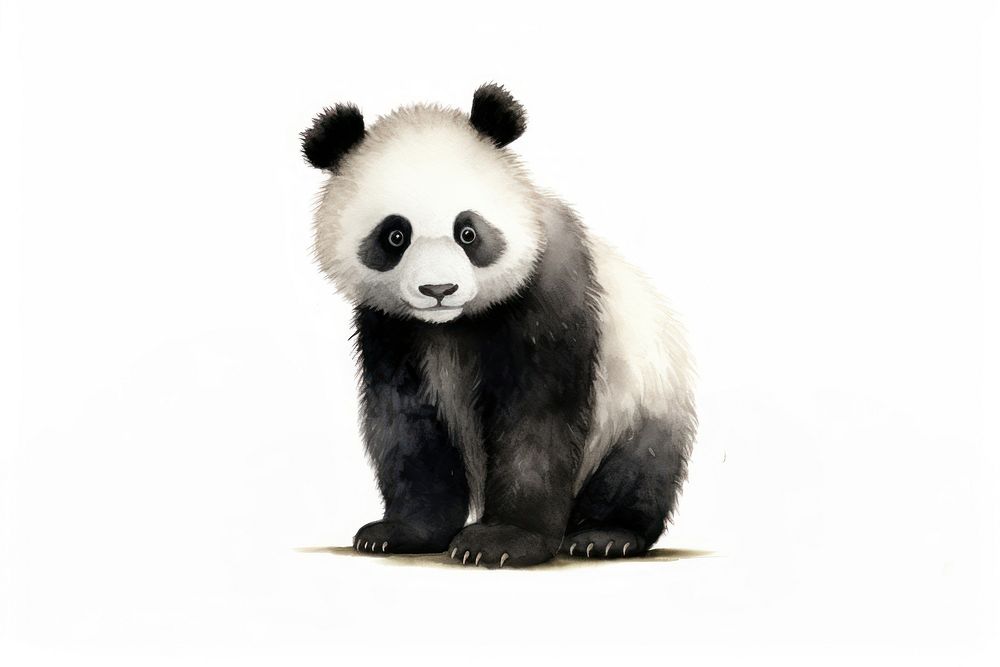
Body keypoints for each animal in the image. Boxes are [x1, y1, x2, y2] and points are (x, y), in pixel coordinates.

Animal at [302, 84, 696, 567]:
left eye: (468, 232)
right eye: (395, 236)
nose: (439, 289)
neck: (452, 324)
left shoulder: (549, 291)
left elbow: (535, 416)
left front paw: (502, 541)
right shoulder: (390, 327)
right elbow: (407, 418)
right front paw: (404, 530)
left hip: (644, 397)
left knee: (636, 470)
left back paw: (604, 535)